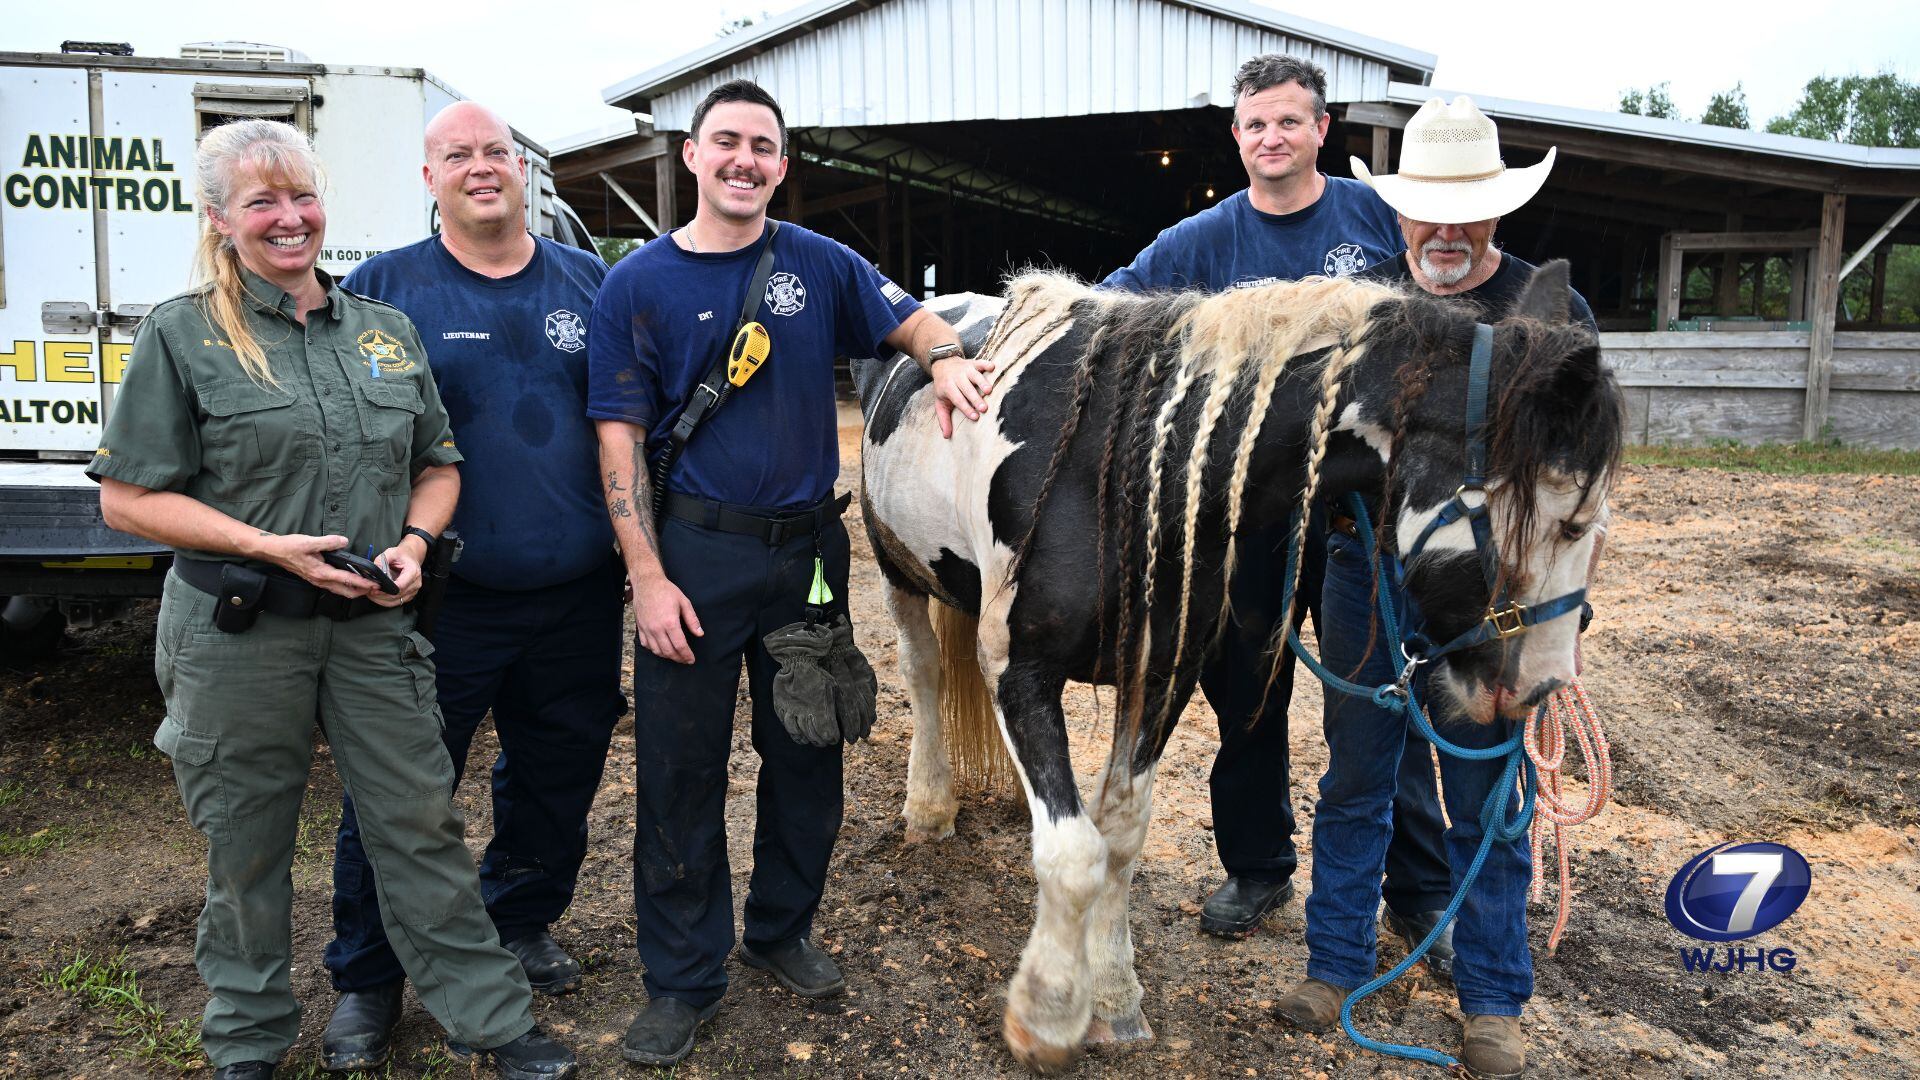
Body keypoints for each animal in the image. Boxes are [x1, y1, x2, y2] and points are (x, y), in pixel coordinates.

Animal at [851, 261, 1622, 1073]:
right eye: (1567, 521)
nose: (1542, 686)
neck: (1121, 462)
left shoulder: (1158, 677)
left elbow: (1118, 839)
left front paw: (1115, 1000)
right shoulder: (1022, 671)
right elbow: (1072, 852)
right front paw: (1048, 1016)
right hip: (898, 575)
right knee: (924, 676)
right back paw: (929, 807)